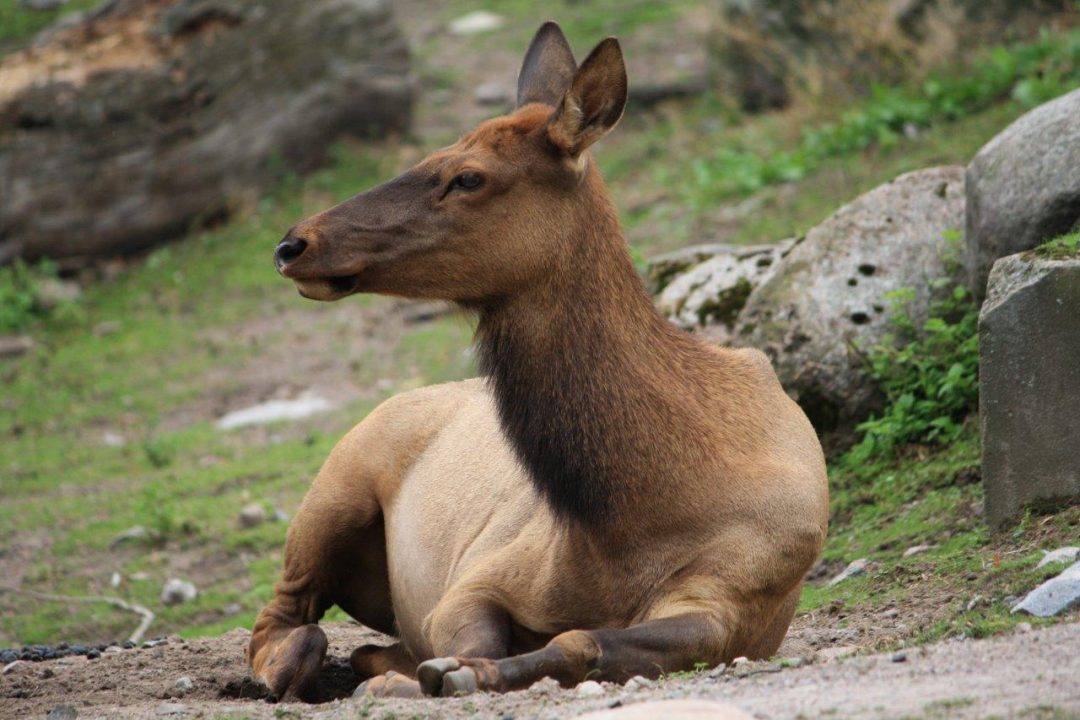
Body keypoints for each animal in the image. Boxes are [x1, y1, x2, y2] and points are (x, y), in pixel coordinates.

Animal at [247, 22, 828, 702]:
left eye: (468, 177)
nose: (294, 243)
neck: (632, 519)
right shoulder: (481, 576)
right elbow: (485, 637)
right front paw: (442, 675)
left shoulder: (727, 604)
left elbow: (581, 641)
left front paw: (444, 675)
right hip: (333, 489)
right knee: (284, 618)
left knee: (362, 642)